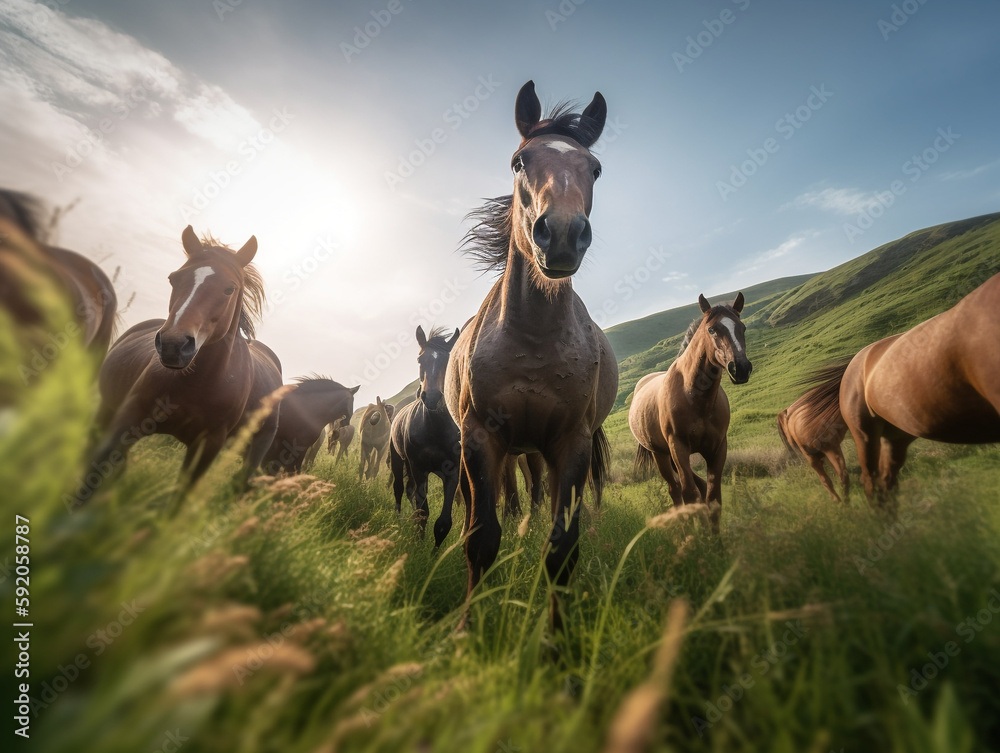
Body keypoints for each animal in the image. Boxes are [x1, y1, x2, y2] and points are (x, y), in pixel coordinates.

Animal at [73, 226, 282, 507]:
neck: (199, 382)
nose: (173, 345)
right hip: (107, 407)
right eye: (173, 279)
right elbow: (92, 477)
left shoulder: (209, 446)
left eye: (230, 289)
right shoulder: (127, 420)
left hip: (258, 445)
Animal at [389, 326, 462, 546]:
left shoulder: (452, 472)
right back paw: (398, 522)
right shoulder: (419, 468)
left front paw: (435, 552)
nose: (432, 397)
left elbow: (443, 522)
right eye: (420, 360)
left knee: (410, 492)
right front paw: (418, 545)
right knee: (399, 489)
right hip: (398, 461)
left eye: (447, 360)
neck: (434, 428)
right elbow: (423, 512)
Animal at [445, 80, 617, 630]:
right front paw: (466, 630)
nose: (560, 234)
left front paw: (556, 641)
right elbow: (480, 539)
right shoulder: (481, 439)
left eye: (595, 168)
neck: (533, 342)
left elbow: (561, 548)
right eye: (520, 161)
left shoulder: (570, 445)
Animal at [629, 293, 752, 532]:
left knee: (696, 486)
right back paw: (684, 529)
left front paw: (714, 538)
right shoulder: (679, 447)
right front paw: (699, 538)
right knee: (676, 491)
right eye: (712, 329)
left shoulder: (718, 448)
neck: (694, 398)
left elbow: (713, 498)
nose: (741, 368)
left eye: (742, 327)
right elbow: (690, 495)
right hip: (662, 455)